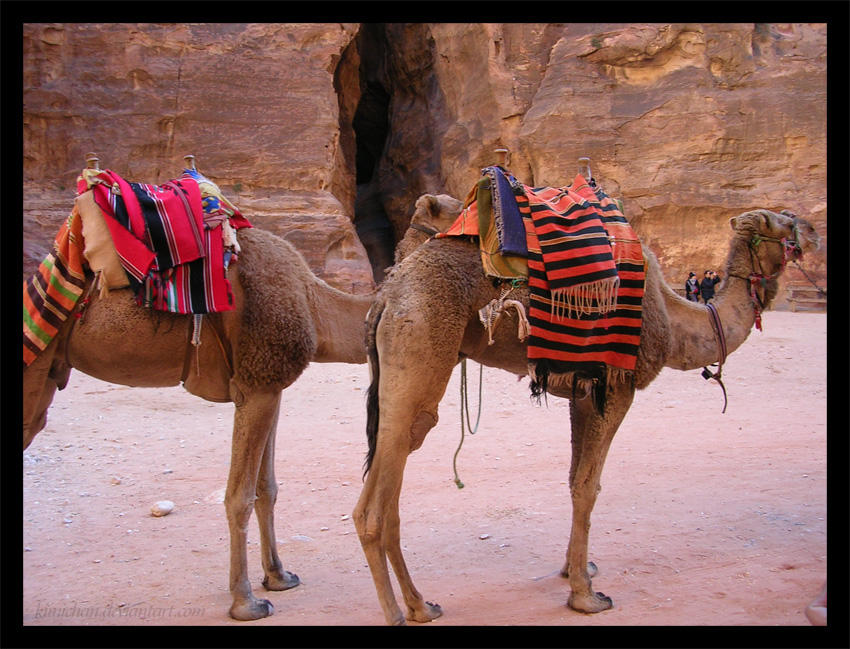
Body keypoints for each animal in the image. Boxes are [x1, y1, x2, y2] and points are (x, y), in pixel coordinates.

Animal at [22, 184, 462, 621]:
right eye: (459, 209)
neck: (314, 305)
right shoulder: (257, 385)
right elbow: (238, 496)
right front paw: (245, 601)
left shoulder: (269, 386)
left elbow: (267, 488)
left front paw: (279, 576)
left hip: (50, 372)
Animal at [353, 204, 820, 625]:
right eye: (784, 222)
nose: (815, 232)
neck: (673, 318)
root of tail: (386, 296)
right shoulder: (615, 386)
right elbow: (589, 486)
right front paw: (586, 596)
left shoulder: (581, 393)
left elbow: (574, 478)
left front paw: (574, 570)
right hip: (421, 345)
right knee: (379, 499)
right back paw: (397, 612)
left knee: (389, 482)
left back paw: (421, 605)